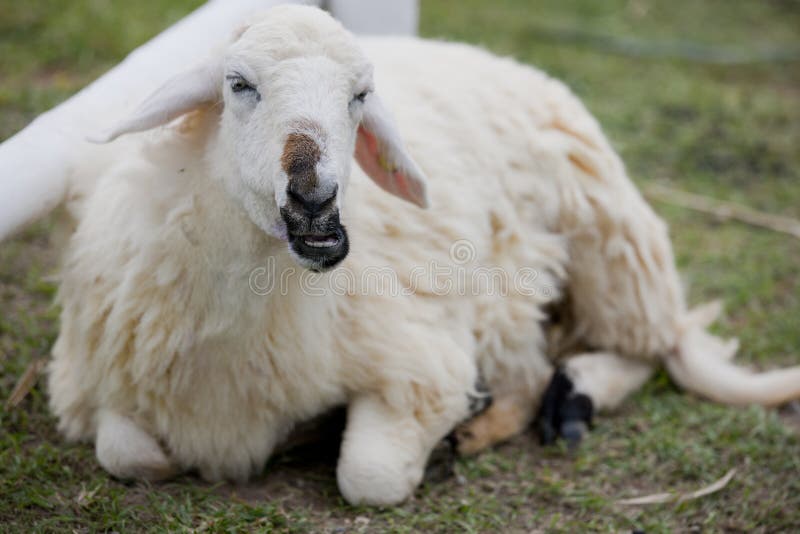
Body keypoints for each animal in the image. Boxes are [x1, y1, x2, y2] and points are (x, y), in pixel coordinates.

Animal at [9, 5, 800, 506]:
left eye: (360, 96)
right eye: (238, 85)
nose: (315, 197)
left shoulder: (419, 360)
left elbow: (371, 479)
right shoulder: (92, 380)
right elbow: (128, 455)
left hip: (610, 244)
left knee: (649, 345)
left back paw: (564, 400)